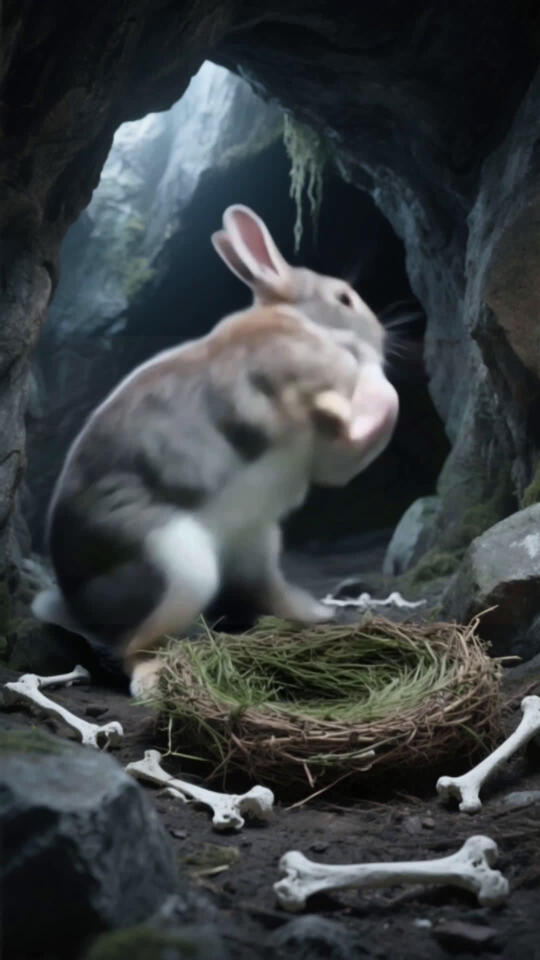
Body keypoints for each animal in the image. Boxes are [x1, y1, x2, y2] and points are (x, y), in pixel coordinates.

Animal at [32, 204, 398, 696]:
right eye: (344, 299)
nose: (380, 337)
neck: (303, 324)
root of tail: (79, 608)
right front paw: (357, 389)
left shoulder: (327, 460)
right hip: (181, 565)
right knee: (134, 647)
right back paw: (152, 681)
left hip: (254, 538)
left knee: (265, 589)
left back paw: (313, 613)